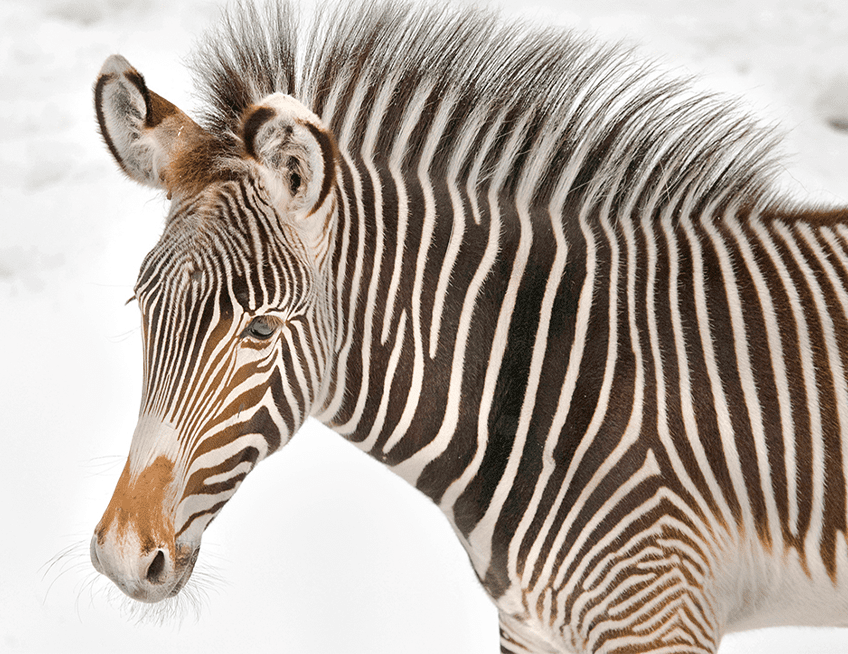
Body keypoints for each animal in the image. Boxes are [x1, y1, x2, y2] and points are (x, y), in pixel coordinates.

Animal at [88, 1, 848, 652]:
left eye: (262, 330)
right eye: (144, 309)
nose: (122, 557)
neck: (546, 389)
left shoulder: (660, 614)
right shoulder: (533, 627)